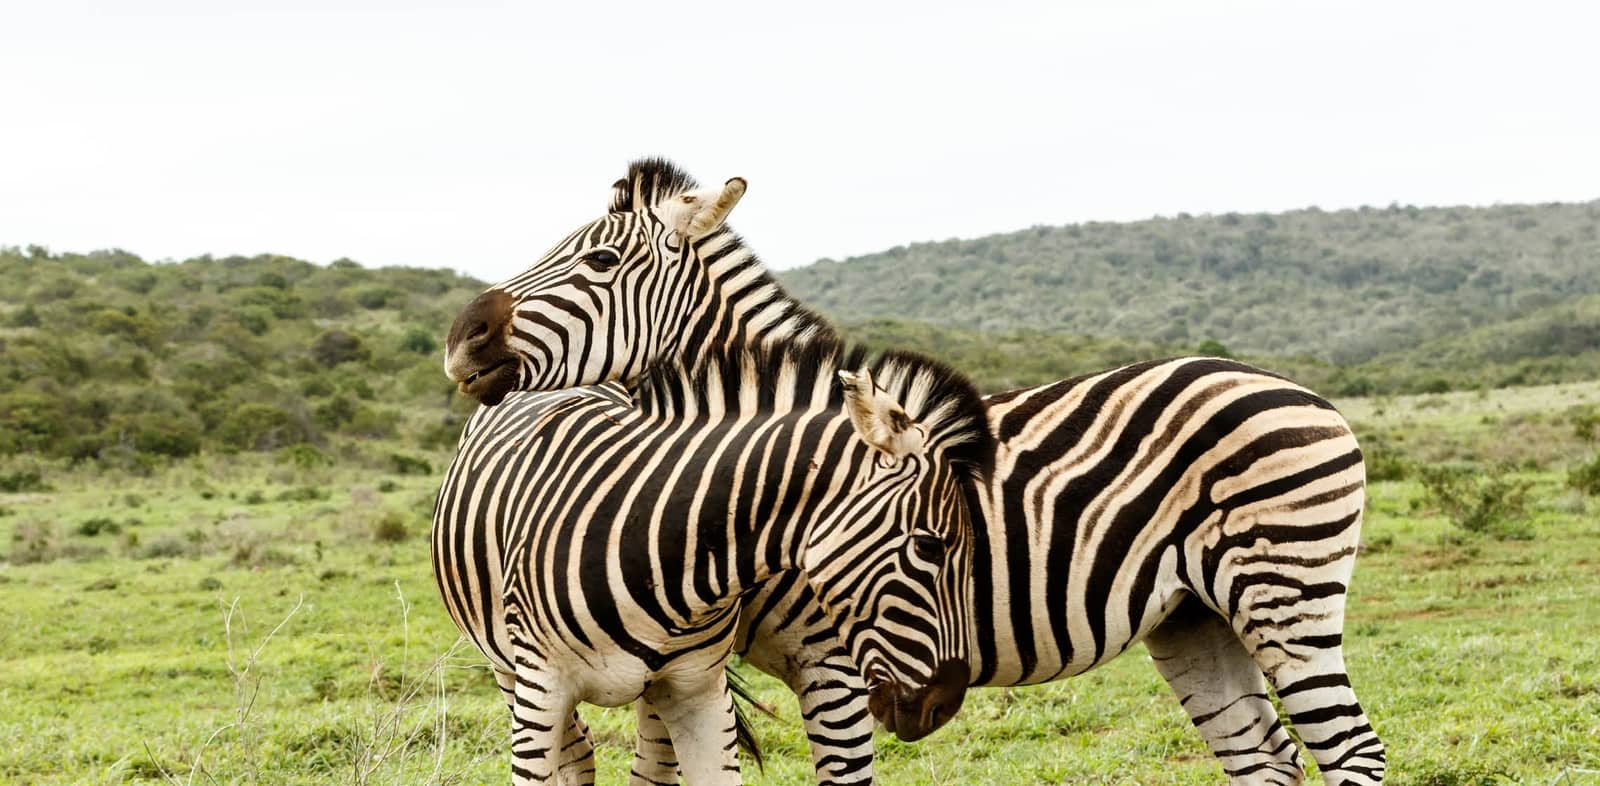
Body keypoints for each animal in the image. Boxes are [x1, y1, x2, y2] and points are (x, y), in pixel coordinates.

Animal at [432, 338, 991, 785]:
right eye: (930, 547)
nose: (946, 704)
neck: (662, 552)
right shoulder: (542, 688)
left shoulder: (697, 690)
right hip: (509, 670)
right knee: (575, 757)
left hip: (652, 692)